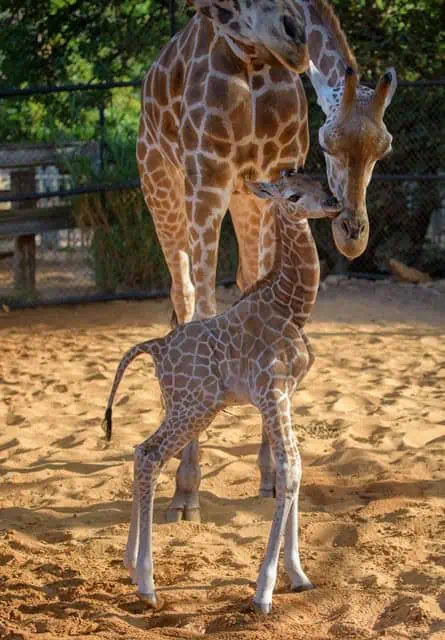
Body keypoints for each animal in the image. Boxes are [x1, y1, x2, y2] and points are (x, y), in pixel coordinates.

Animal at [104, 172, 342, 614]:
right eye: (293, 195)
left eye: (319, 179)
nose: (334, 203)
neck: (292, 308)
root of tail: (155, 348)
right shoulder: (272, 392)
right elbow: (290, 468)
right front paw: (263, 592)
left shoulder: (286, 394)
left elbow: (295, 466)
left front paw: (299, 576)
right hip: (196, 406)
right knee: (149, 454)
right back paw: (147, 585)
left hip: (183, 405)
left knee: (142, 452)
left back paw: (130, 565)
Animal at [137, 0, 397, 522]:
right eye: (328, 142)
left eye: (385, 147)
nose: (352, 235)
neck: (255, 61)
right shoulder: (208, 179)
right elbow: (206, 304)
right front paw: (186, 490)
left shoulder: (272, 174)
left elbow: (262, 288)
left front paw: (272, 474)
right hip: (160, 180)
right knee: (184, 294)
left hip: (244, 198)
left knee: (245, 278)